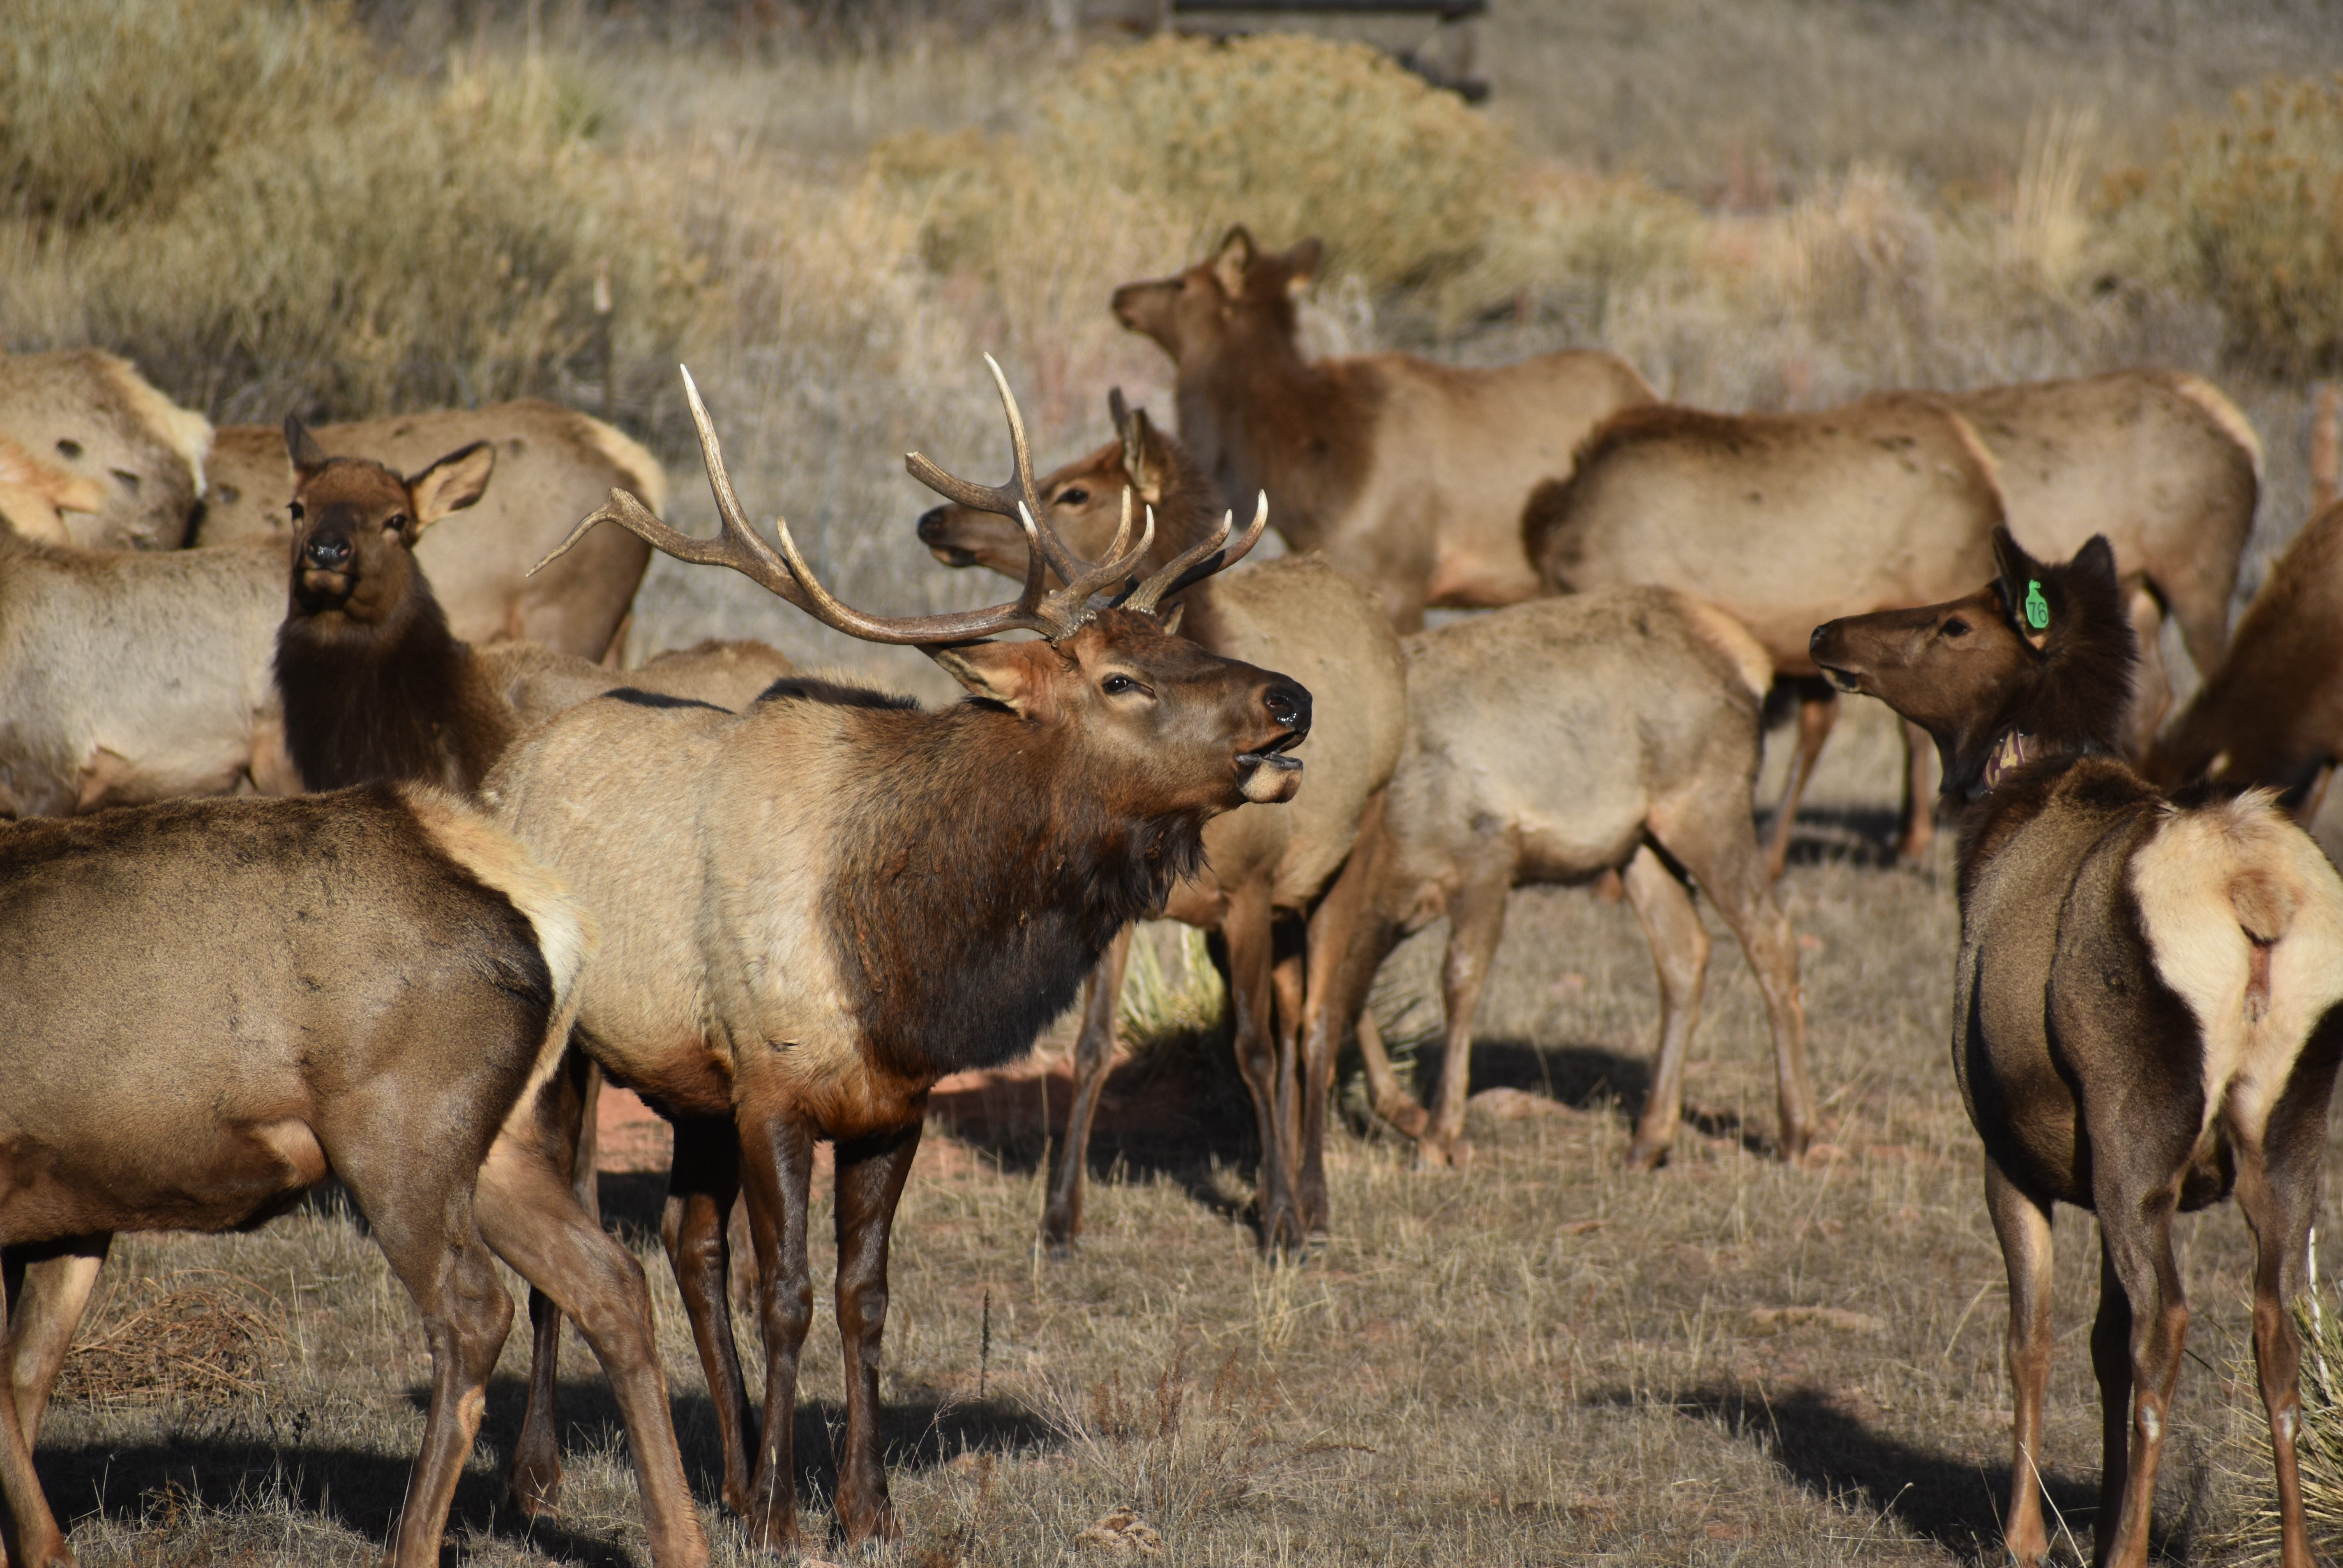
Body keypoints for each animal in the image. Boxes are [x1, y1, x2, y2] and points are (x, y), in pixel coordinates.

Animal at [0, 786, 709, 1568]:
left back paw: (413, 1545)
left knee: (475, 1310)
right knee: (611, 1281)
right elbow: (26, 1375)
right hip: (497, 1147)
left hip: (396, 1135)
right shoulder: (73, 1211)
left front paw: (48, 1551)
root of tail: (562, 925)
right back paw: (683, 1546)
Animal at [485, 360, 1310, 1546]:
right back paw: (539, 1473)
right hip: (569, 1047)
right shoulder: (775, 1089)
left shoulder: (889, 1102)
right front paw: (784, 1515)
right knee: (574, 1241)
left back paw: (727, 1469)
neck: (900, 955)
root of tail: (506, 765)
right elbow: (785, 1296)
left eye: (1185, 643)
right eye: (1120, 679)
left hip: (689, 1083)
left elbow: (862, 1296)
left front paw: (860, 1505)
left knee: (690, 1242)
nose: (1291, 699)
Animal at [914, 386, 1407, 1252]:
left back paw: (1312, 1199)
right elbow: (1091, 1045)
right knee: (1293, 1015)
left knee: (1316, 1021)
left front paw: (1280, 1220)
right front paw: (1059, 1219)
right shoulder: (1122, 904)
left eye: (1076, 492)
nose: (934, 522)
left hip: (1357, 845)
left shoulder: (1250, 888)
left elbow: (1251, 1046)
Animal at [1306, 588, 1812, 1170]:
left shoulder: (1487, 856)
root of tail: (1746, 660)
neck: (1390, 848)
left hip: (1704, 807)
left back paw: (1795, 1134)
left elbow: (1457, 982)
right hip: (1640, 845)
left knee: (1770, 936)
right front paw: (1404, 1113)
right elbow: (1358, 996)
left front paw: (1438, 1134)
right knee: (1683, 953)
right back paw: (1648, 1139)